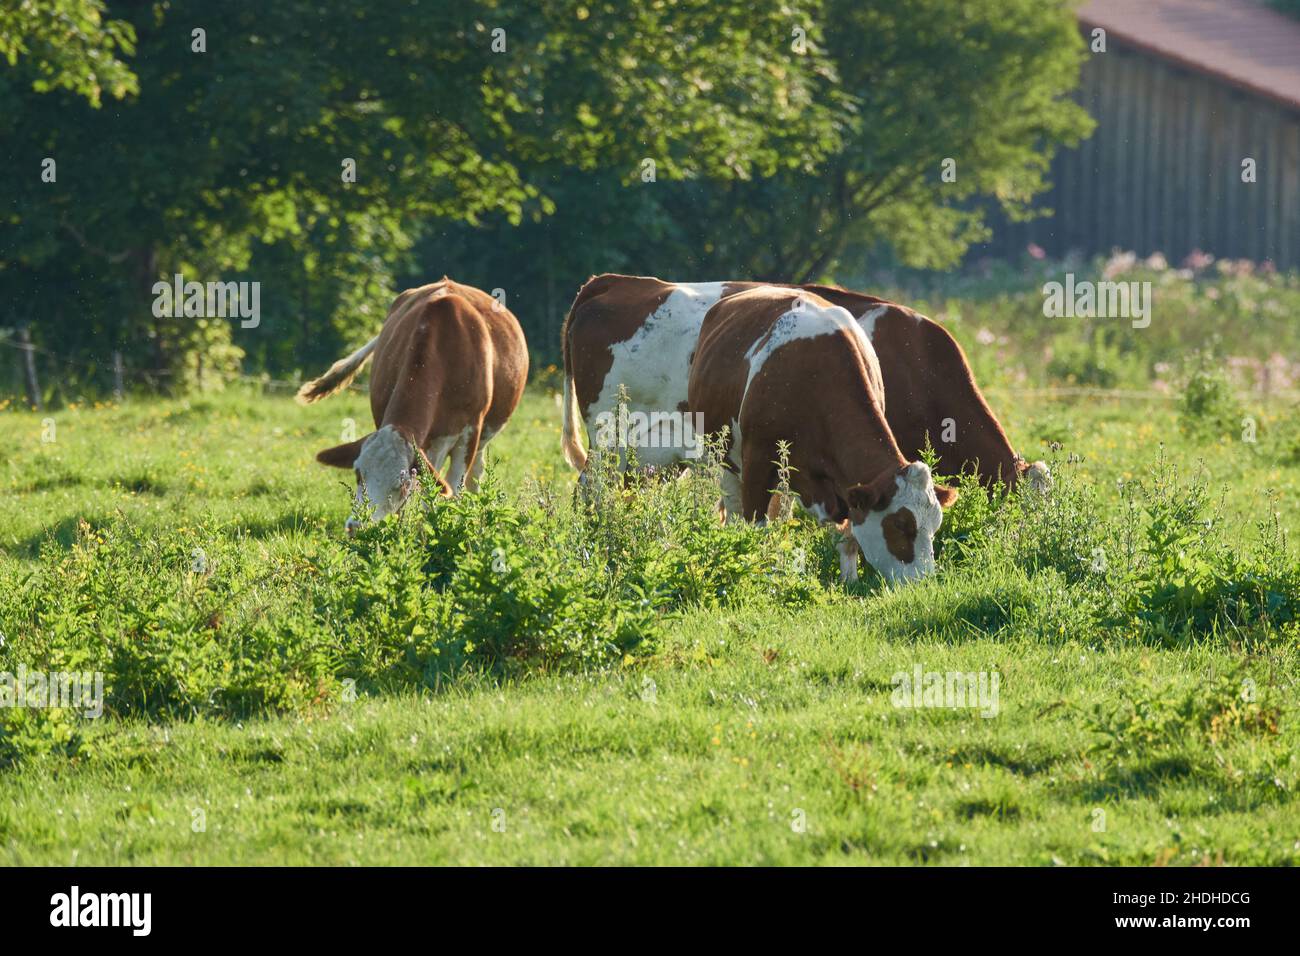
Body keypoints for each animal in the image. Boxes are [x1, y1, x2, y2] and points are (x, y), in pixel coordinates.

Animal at [297, 278, 528, 532]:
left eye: (401, 483)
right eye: (358, 474)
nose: (356, 526)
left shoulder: (469, 434)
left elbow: (451, 490)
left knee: (474, 474)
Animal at [688, 287, 958, 583]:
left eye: (935, 525)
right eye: (900, 525)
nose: (924, 581)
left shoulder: (848, 487)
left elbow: (849, 537)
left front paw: (849, 581)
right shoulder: (757, 461)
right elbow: (757, 529)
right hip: (725, 456)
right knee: (735, 509)